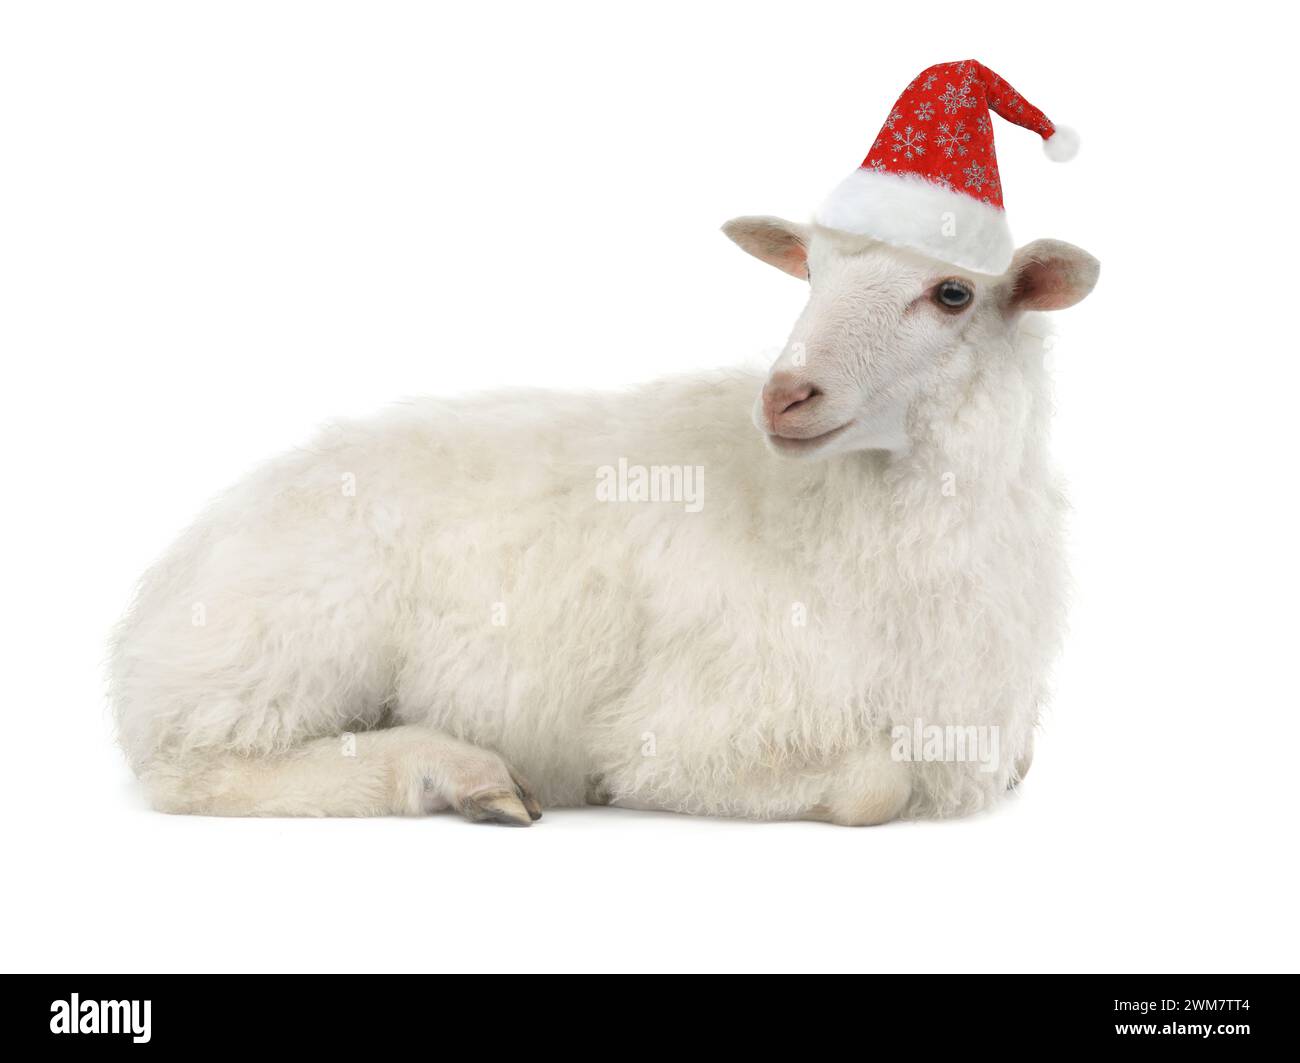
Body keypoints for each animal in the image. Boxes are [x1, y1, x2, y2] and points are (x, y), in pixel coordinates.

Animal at [109, 219, 1099, 826]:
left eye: (953, 294)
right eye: (812, 271)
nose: (784, 395)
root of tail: (164, 584)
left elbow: (1015, 761)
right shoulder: (687, 727)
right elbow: (874, 784)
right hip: (296, 638)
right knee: (199, 768)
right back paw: (460, 773)